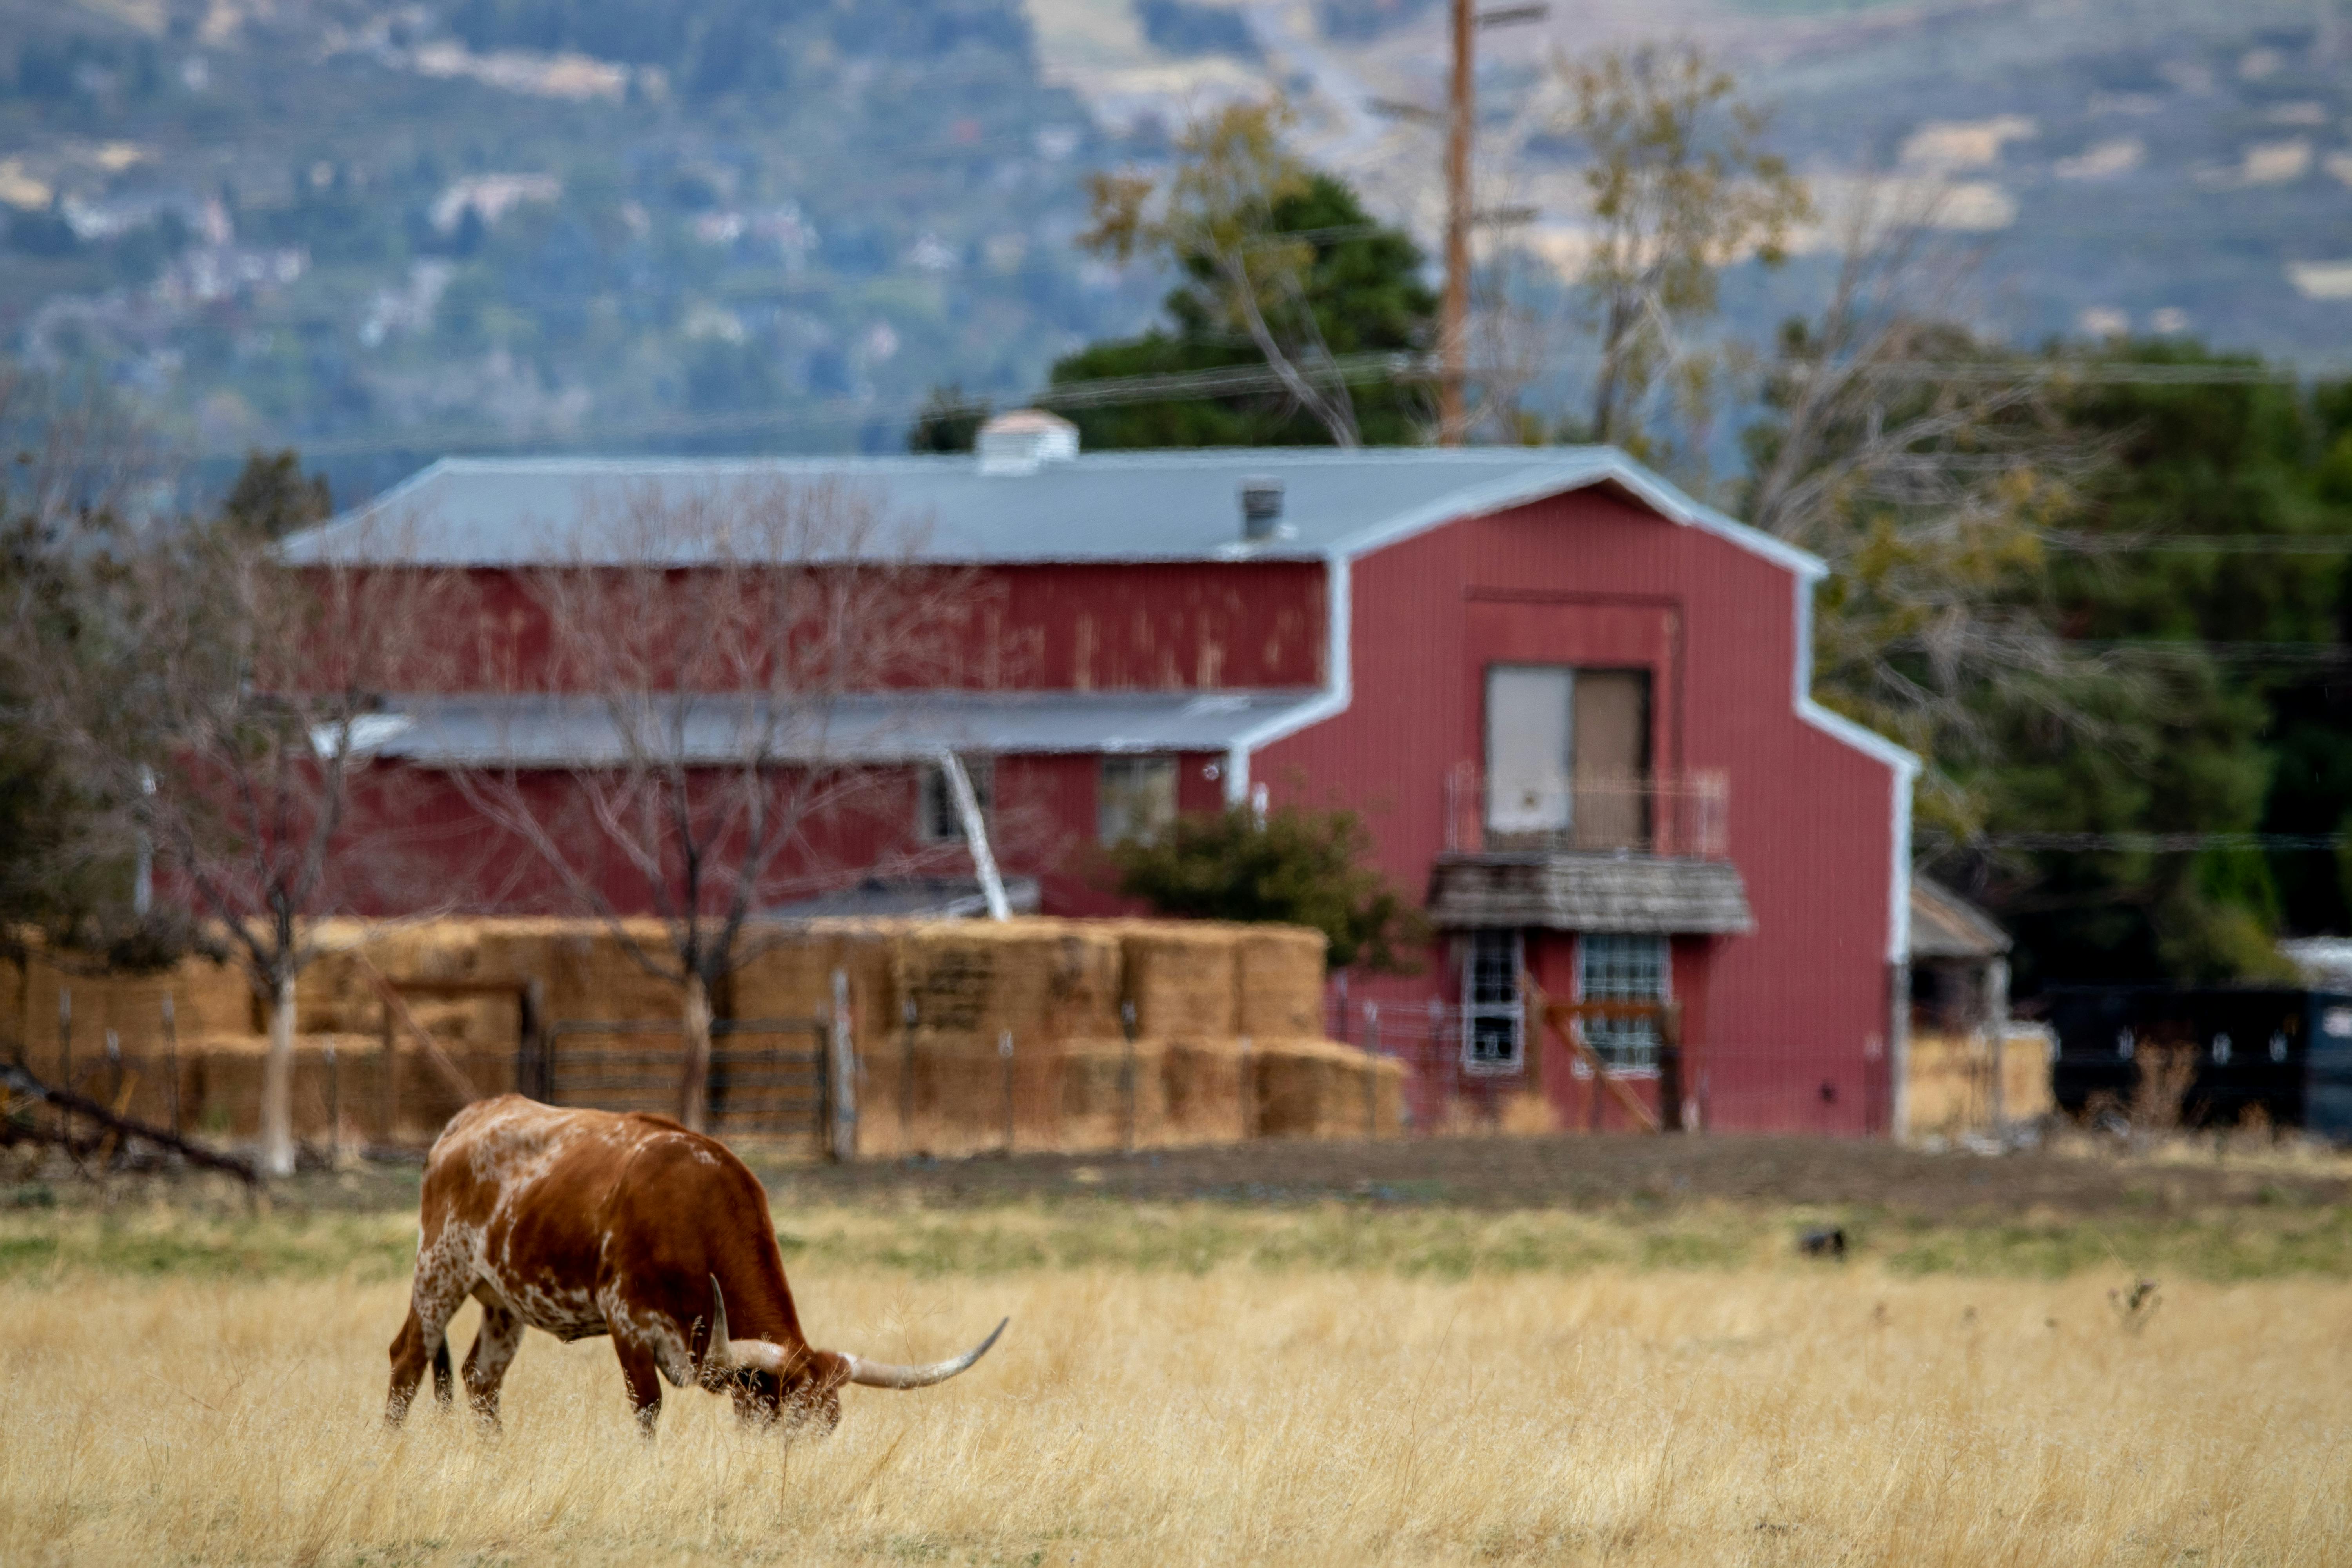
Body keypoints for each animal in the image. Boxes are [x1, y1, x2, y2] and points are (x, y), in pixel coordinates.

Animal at [386, 1095, 1005, 1433]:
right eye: (786, 1422)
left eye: (827, 1428)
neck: (695, 1209)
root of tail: (469, 1117)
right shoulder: (627, 1323)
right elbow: (648, 1408)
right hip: (439, 1270)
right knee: (409, 1358)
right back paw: (390, 1452)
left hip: (504, 1301)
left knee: (480, 1380)